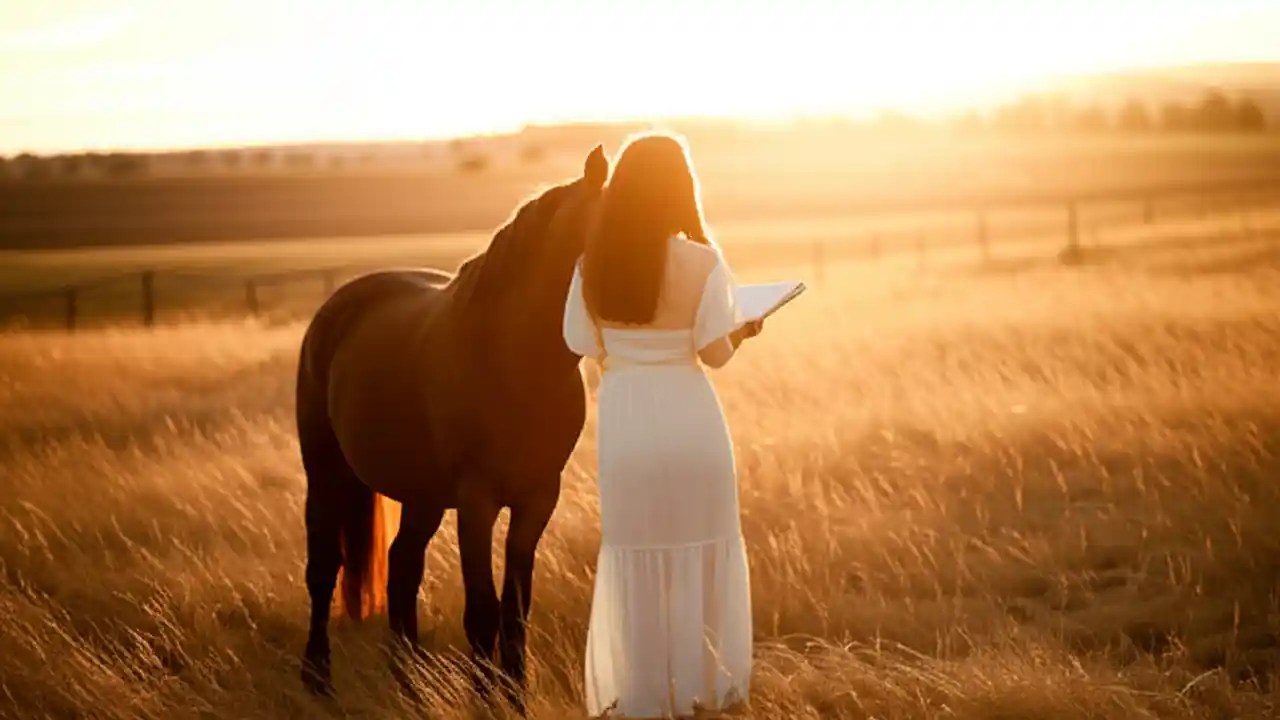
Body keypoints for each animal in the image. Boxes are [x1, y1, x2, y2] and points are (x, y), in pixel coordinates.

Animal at [295, 146, 608, 707]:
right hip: (326, 473)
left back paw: (409, 682)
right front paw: (486, 700)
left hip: (423, 496)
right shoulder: (476, 501)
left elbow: (515, 608)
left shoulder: (537, 499)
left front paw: (513, 696)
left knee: (401, 567)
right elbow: (482, 610)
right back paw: (318, 680)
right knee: (324, 569)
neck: (516, 358)